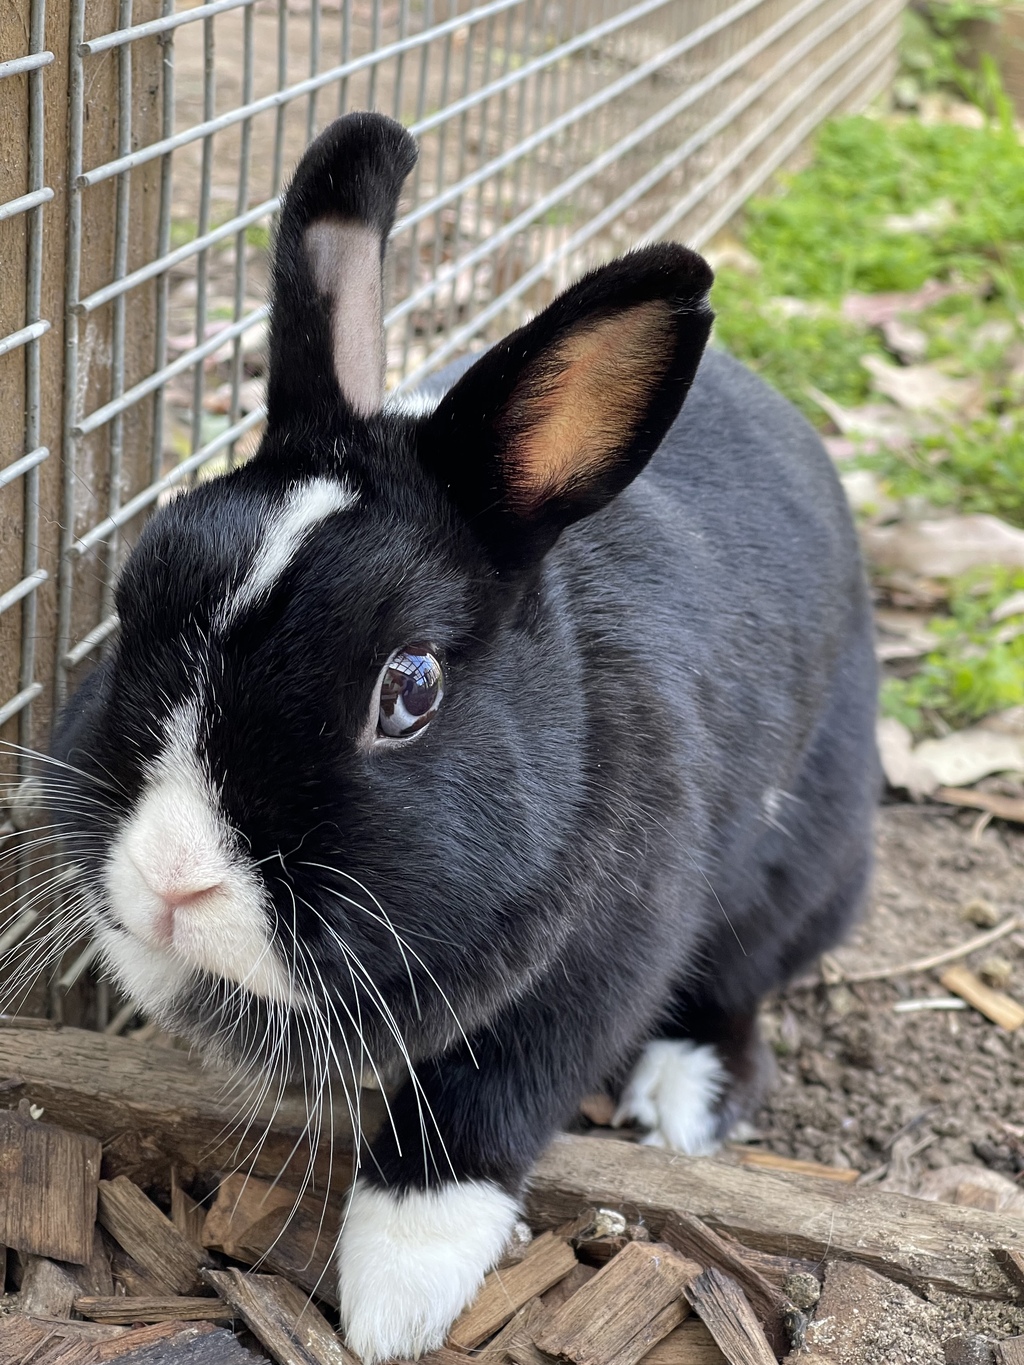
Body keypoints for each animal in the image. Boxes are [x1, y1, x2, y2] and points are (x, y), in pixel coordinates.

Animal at [46, 112, 879, 1360]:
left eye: (411, 688)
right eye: (131, 597)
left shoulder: (596, 964)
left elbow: (478, 1111)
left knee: (741, 984)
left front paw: (394, 1301)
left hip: (802, 870)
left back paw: (683, 1099)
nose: (168, 881)